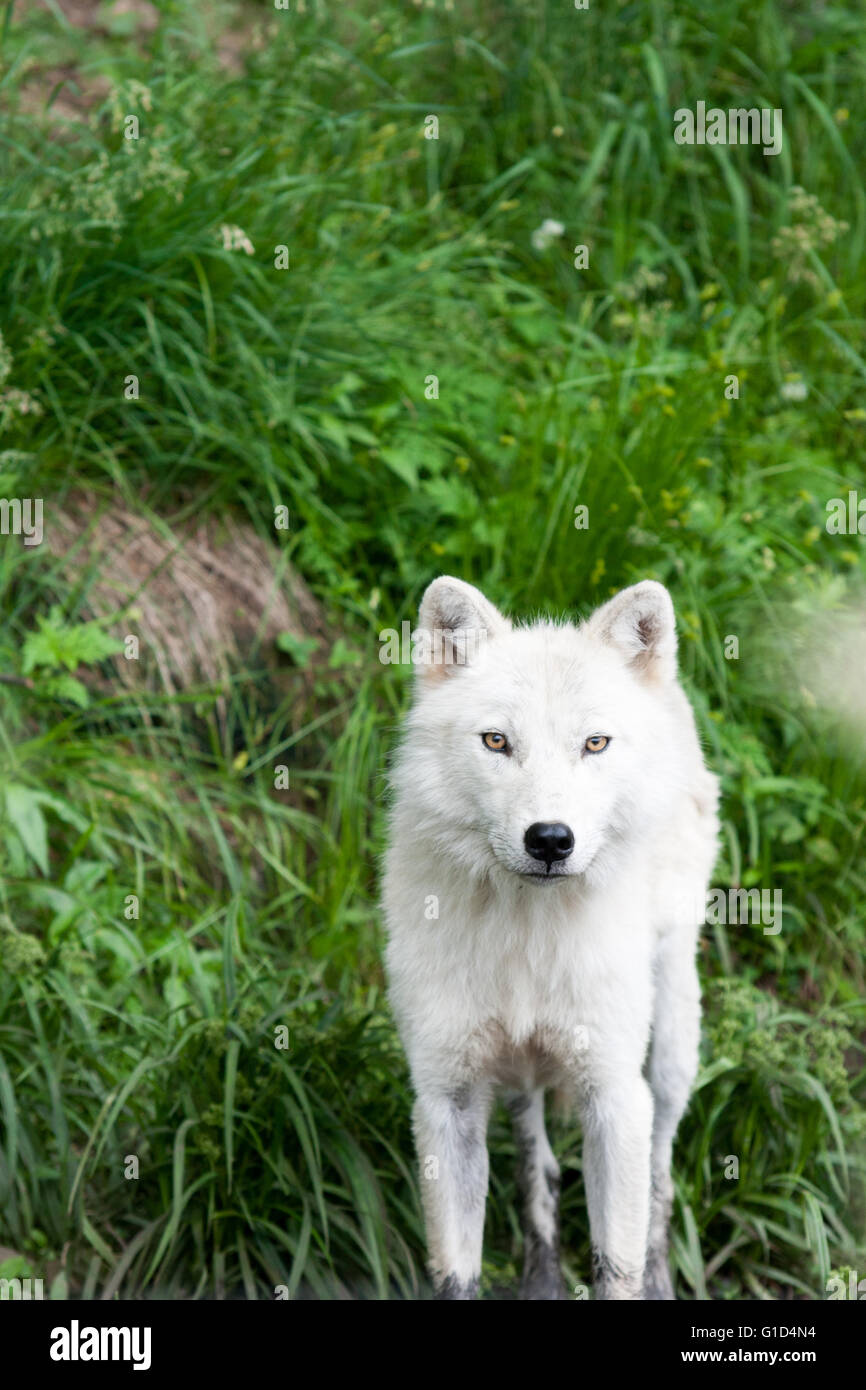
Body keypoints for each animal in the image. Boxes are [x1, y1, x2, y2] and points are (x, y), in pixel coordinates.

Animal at [382, 576, 719, 1300]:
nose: (550, 839)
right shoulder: (446, 1100)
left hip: (671, 1046)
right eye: (496, 742)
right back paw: (541, 1275)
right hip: (514, 1074)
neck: (526, 939)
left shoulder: (616, 1097)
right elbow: (457, 1273)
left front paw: (632, 1276)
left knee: (661, 1170)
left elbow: (616, 1267)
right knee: (537, 1159)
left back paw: (660, 1273)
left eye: (594, 744)